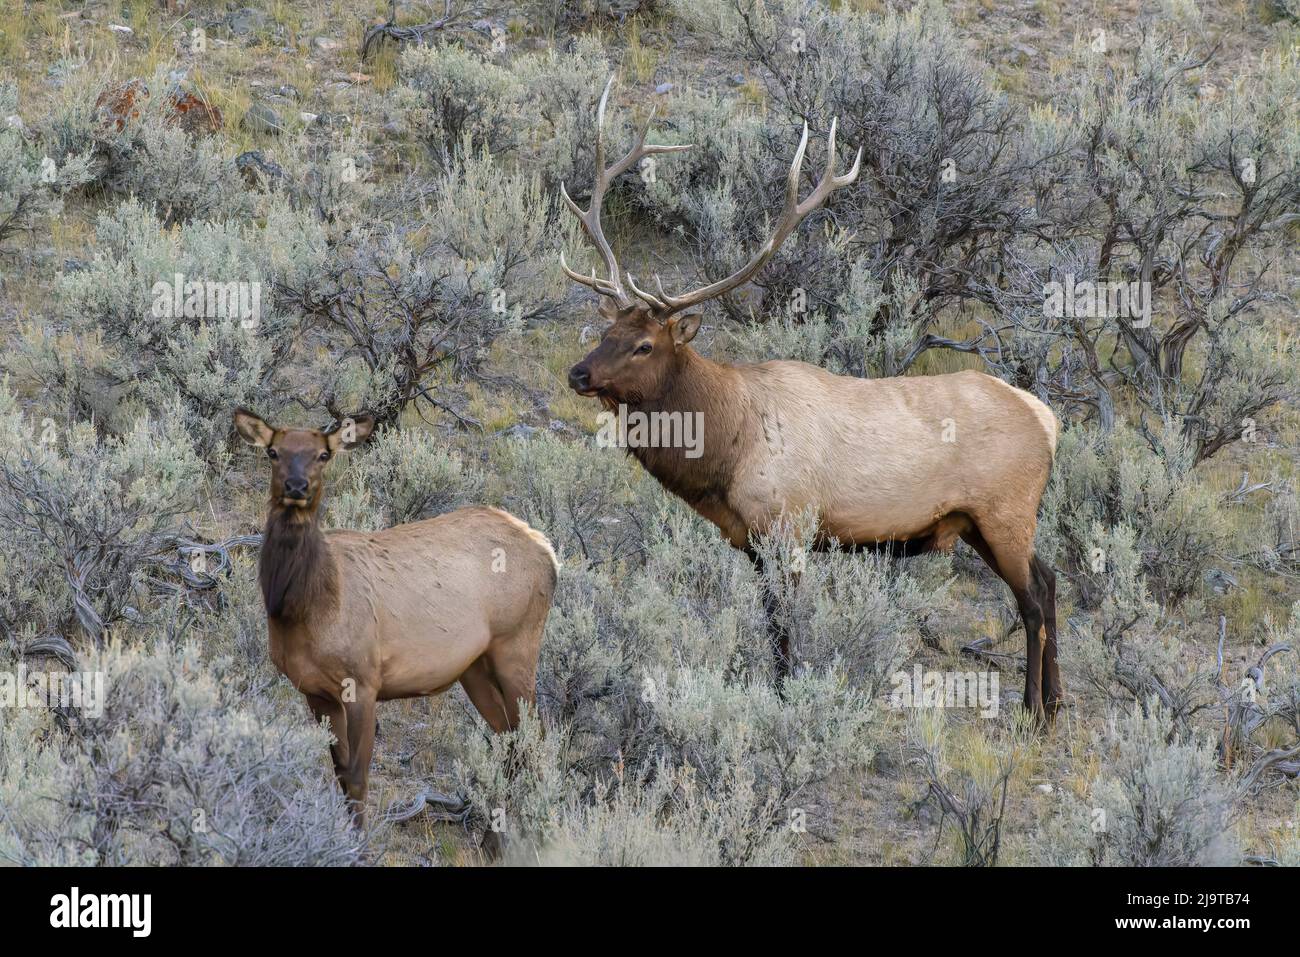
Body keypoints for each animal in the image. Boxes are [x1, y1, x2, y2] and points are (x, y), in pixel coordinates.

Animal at [232, 409, 558, 825]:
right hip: (474, 667)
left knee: (533, 746)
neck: (303, 609)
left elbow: (358, 780)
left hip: (517, 643)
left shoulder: (363, 681)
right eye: (273, 452)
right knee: (509, 743)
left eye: (323, 455)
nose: (296, 485)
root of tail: (548, 551)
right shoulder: (314, 690)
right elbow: (341, 775)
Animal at [559, 78, 1063, 721]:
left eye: (644, 345)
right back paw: (1057, 700)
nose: (577, 373)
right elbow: (768, 621)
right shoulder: (749, 540)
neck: (727, 451)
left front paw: (786, 697)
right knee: (1051, 579)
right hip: (986, 522)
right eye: (607, 332)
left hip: (1005, 511)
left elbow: (785, 626)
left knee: (1033, 596)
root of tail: (1047, 419)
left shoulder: (791, 525)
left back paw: (1033, 708)